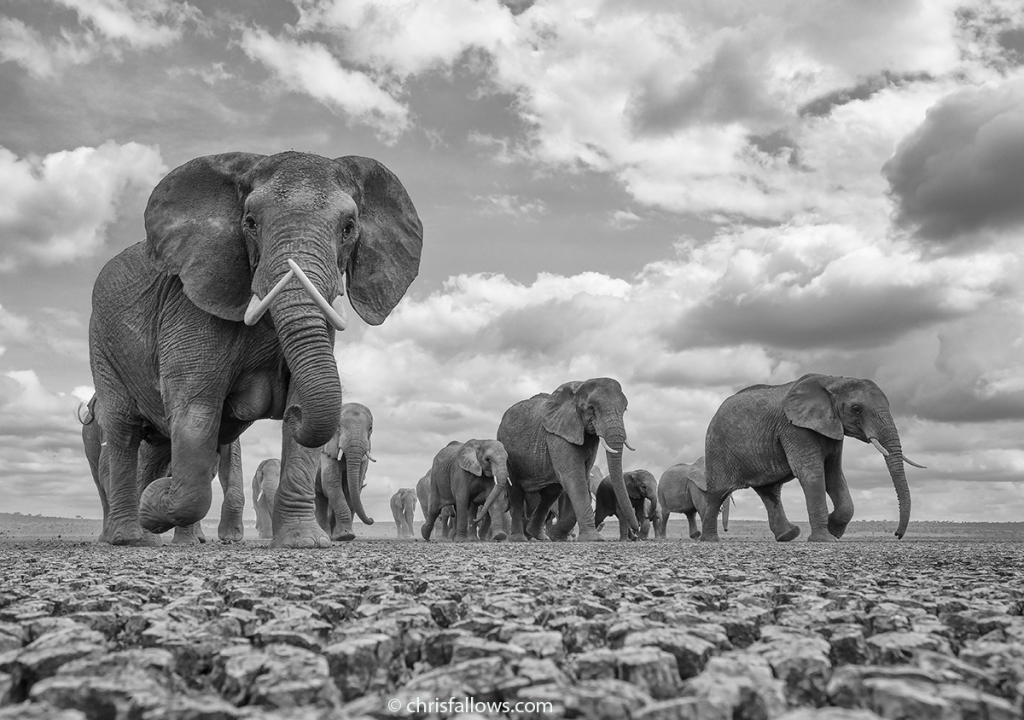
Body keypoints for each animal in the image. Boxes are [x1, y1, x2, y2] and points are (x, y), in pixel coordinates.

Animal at [314, 402, 376, 541]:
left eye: (370, 428)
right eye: (338, 427)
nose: (371, 519)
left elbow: (351, 487)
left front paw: (346, 535)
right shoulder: (326, 451)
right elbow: (332, 485)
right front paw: (345, 536)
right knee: (319, 498)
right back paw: (326, 535)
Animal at [497, 378, 639, 542]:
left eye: (625, 409)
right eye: (591, 408)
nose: (636, 531)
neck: (578, 388)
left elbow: (582, 476)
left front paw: (557, 536)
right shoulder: (558, 434)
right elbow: (573, 476)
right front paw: (594, 538)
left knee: (551, 492)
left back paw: (539, 535)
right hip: (505, 450)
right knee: (516, 493)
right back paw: (520, 538)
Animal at [703, 373, 923, 543]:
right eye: (856, 409)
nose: (897, 534)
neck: (833, 381)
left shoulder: (832, 428)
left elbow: (834, 475)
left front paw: (834, 530)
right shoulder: (794, 428)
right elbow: (812, 473)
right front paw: (825, 539)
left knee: (769, 491)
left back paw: (788, 535)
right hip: (717, 447)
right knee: (717, 493)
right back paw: (710, 540)